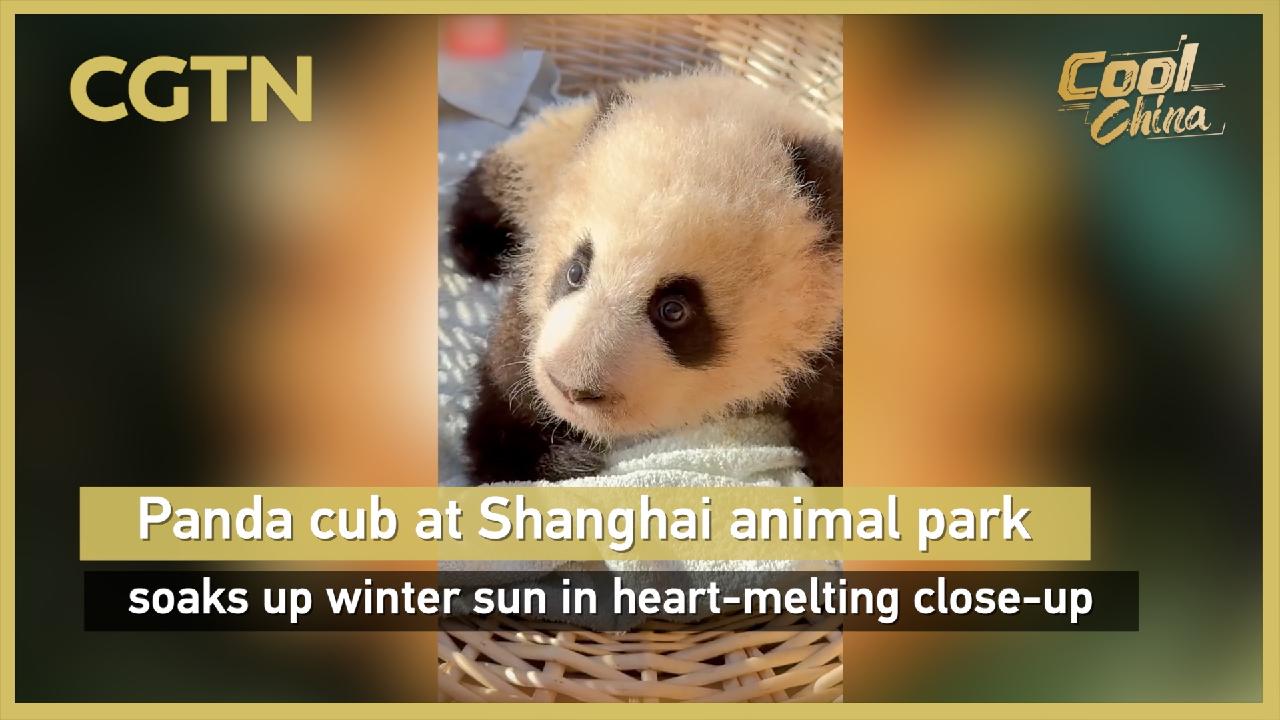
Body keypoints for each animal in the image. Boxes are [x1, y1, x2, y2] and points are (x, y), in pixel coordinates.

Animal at [448, 71, 843, 487]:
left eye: (674, 310)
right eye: (575, 271)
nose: (571, 388)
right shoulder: (538, 273)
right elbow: (514, 354)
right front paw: (540, 458)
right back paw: (478, 245)